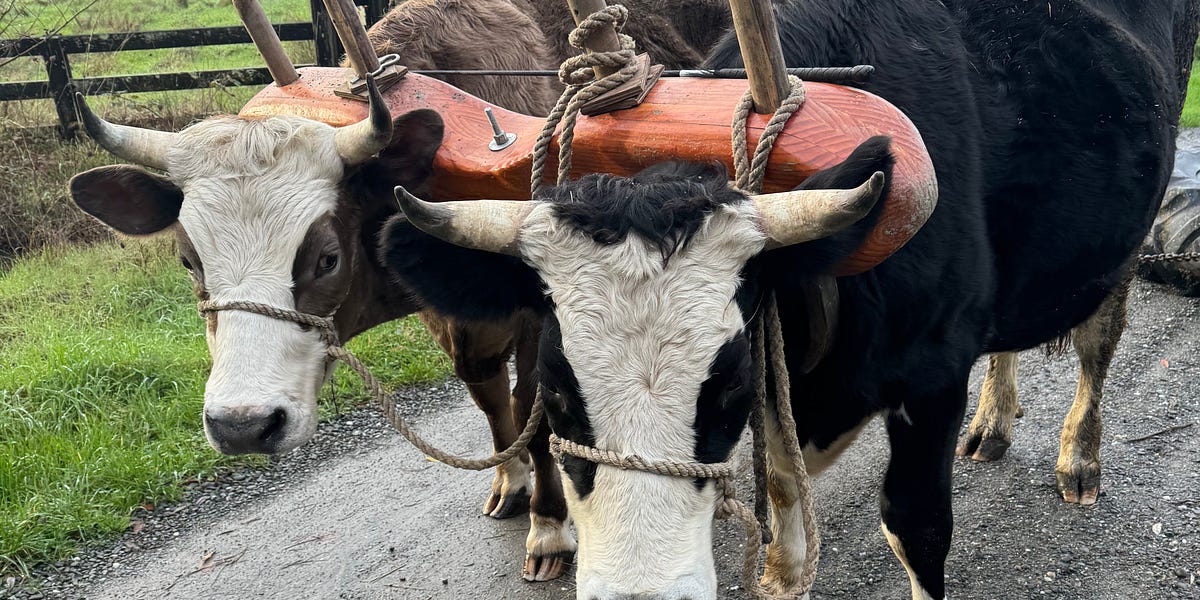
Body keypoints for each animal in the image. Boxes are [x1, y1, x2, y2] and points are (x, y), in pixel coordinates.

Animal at [63, 0, 721, 584]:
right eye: (188, 260)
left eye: (327, 258)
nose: (242, 426)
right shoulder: (451, 318)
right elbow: (488, 395)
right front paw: (508, 482)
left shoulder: (543, 303)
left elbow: (533, 406)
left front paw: (549, 529)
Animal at [378, 0, 1200, 598]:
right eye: (553, 390)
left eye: (729, 385)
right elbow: (784, 521)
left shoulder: (933, 375)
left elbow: (915, 527)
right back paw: (993, 424)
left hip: (1125, 230)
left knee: (1099, 340)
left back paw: (1079, 459)